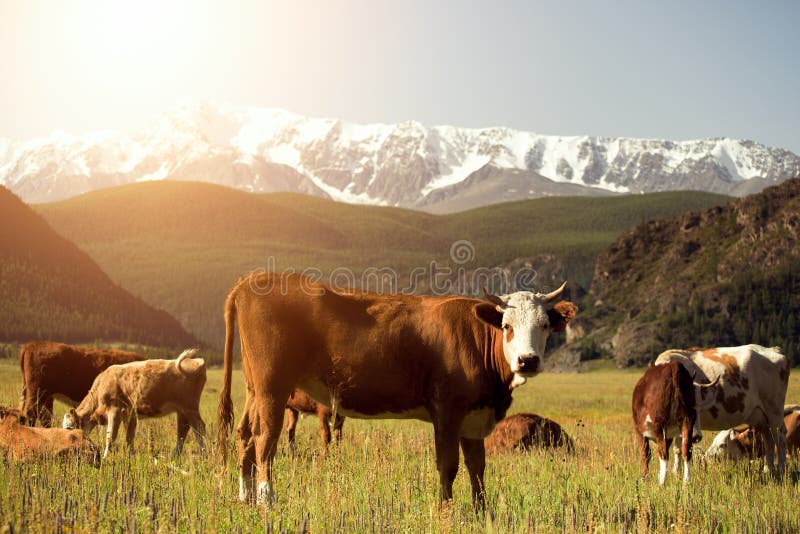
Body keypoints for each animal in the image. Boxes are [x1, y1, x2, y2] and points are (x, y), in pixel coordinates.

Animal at [62, 349, 207, 458]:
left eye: (69, 428)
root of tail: (196, 361)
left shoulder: (115, 410)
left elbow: (111, 436)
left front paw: (105, 457)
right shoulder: (129, 415)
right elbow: (129, 436)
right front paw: (130, 456)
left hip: (190, 407)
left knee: (199, 428)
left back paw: (203, 455)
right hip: (182, 410)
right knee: (183, 430)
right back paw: (175, 455)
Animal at [217, 273, 577, 507]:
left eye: (545, 324)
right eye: (506, 326)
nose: (527, 360)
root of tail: (257, 277)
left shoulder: (474, 418)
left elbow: (477, 469)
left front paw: (481, 513)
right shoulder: (447, 411)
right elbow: (448, 467)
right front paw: (446, 511)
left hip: (254, 388)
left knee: (245, 433)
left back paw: (245, 496)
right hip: (272, 387)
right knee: (265, 439)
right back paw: (266, 499)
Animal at [655, 345, 789, 478]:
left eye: (698, 407)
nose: (696, 435)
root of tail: (774, 349)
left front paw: (676, 474)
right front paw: (675, 474)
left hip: (774, 412)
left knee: (780, 438)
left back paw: (781, 469)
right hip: (762, 418)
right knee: (769, 440)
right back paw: (769, 470)